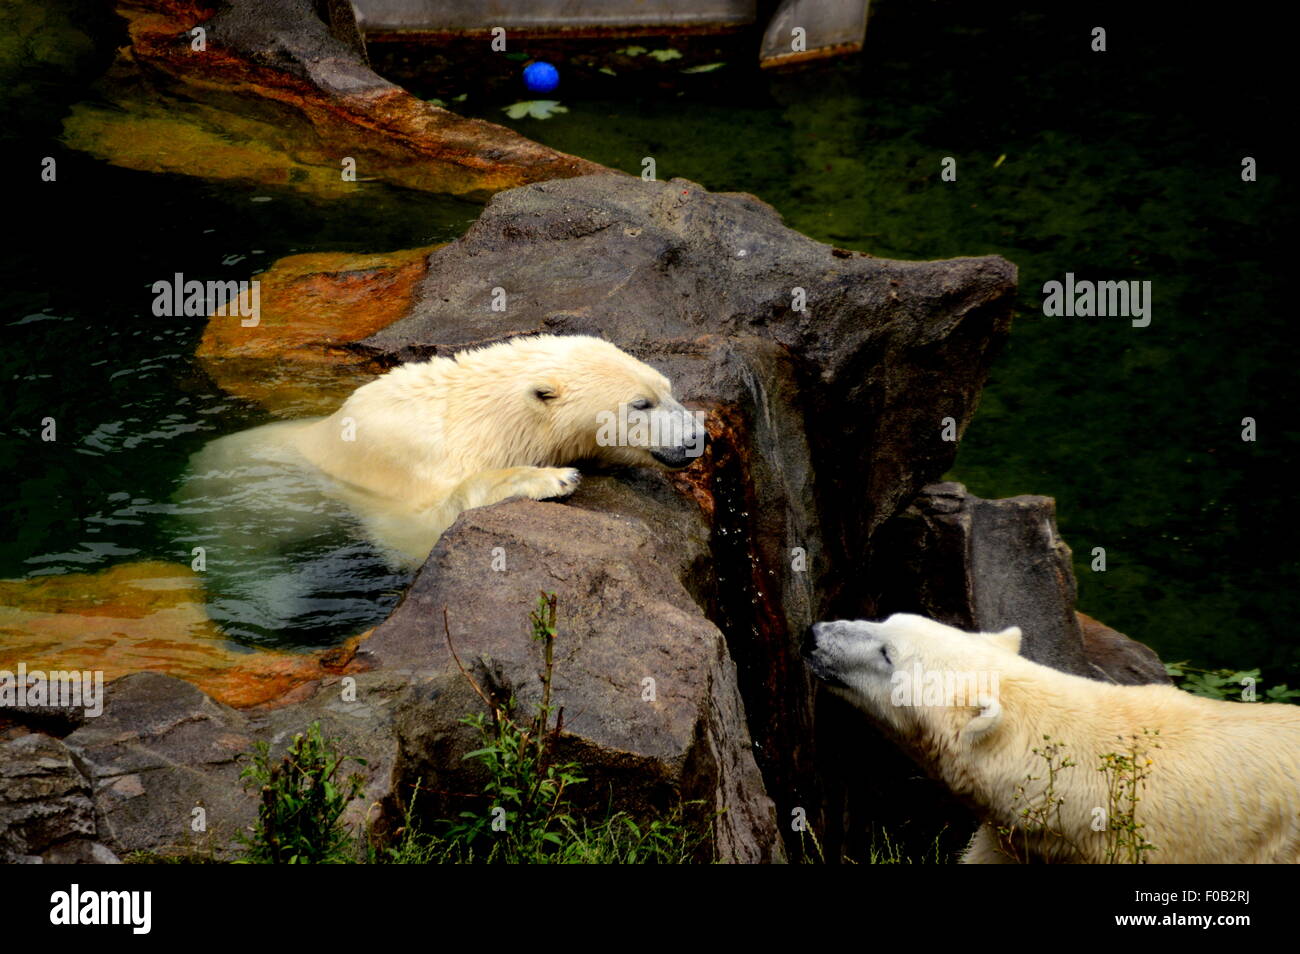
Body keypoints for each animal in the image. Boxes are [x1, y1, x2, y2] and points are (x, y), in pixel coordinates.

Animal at [176, 334, 706, 641]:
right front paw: (551, 477)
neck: (475, 417)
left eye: (668, 388)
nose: (696, 436)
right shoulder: (397, 465)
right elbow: (417, 531)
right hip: (231, 512)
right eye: (641, 403)